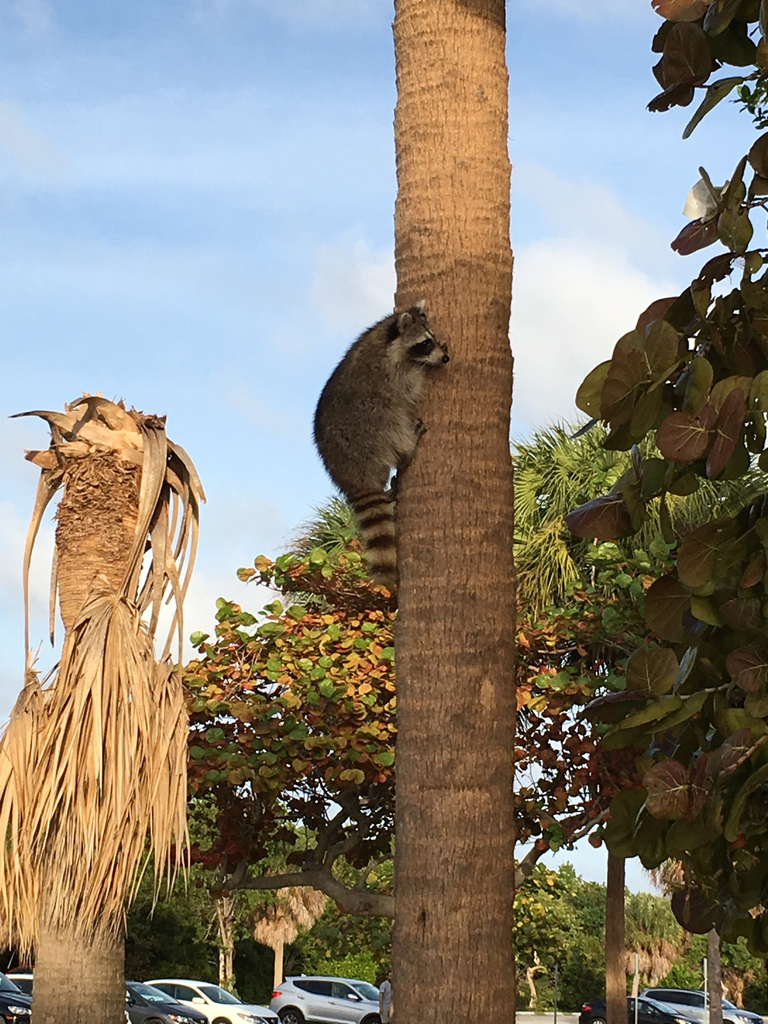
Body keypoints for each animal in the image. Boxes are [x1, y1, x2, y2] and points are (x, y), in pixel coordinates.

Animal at [313, 302, 449, 588]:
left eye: (431, 337)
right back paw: (408, 449)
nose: (444, 359)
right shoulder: (391, 374)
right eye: (424, 343)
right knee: (392, 419)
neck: (386, 336)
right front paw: (425, 369)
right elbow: (410, 387)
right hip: (368, 427)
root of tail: (353, 478)